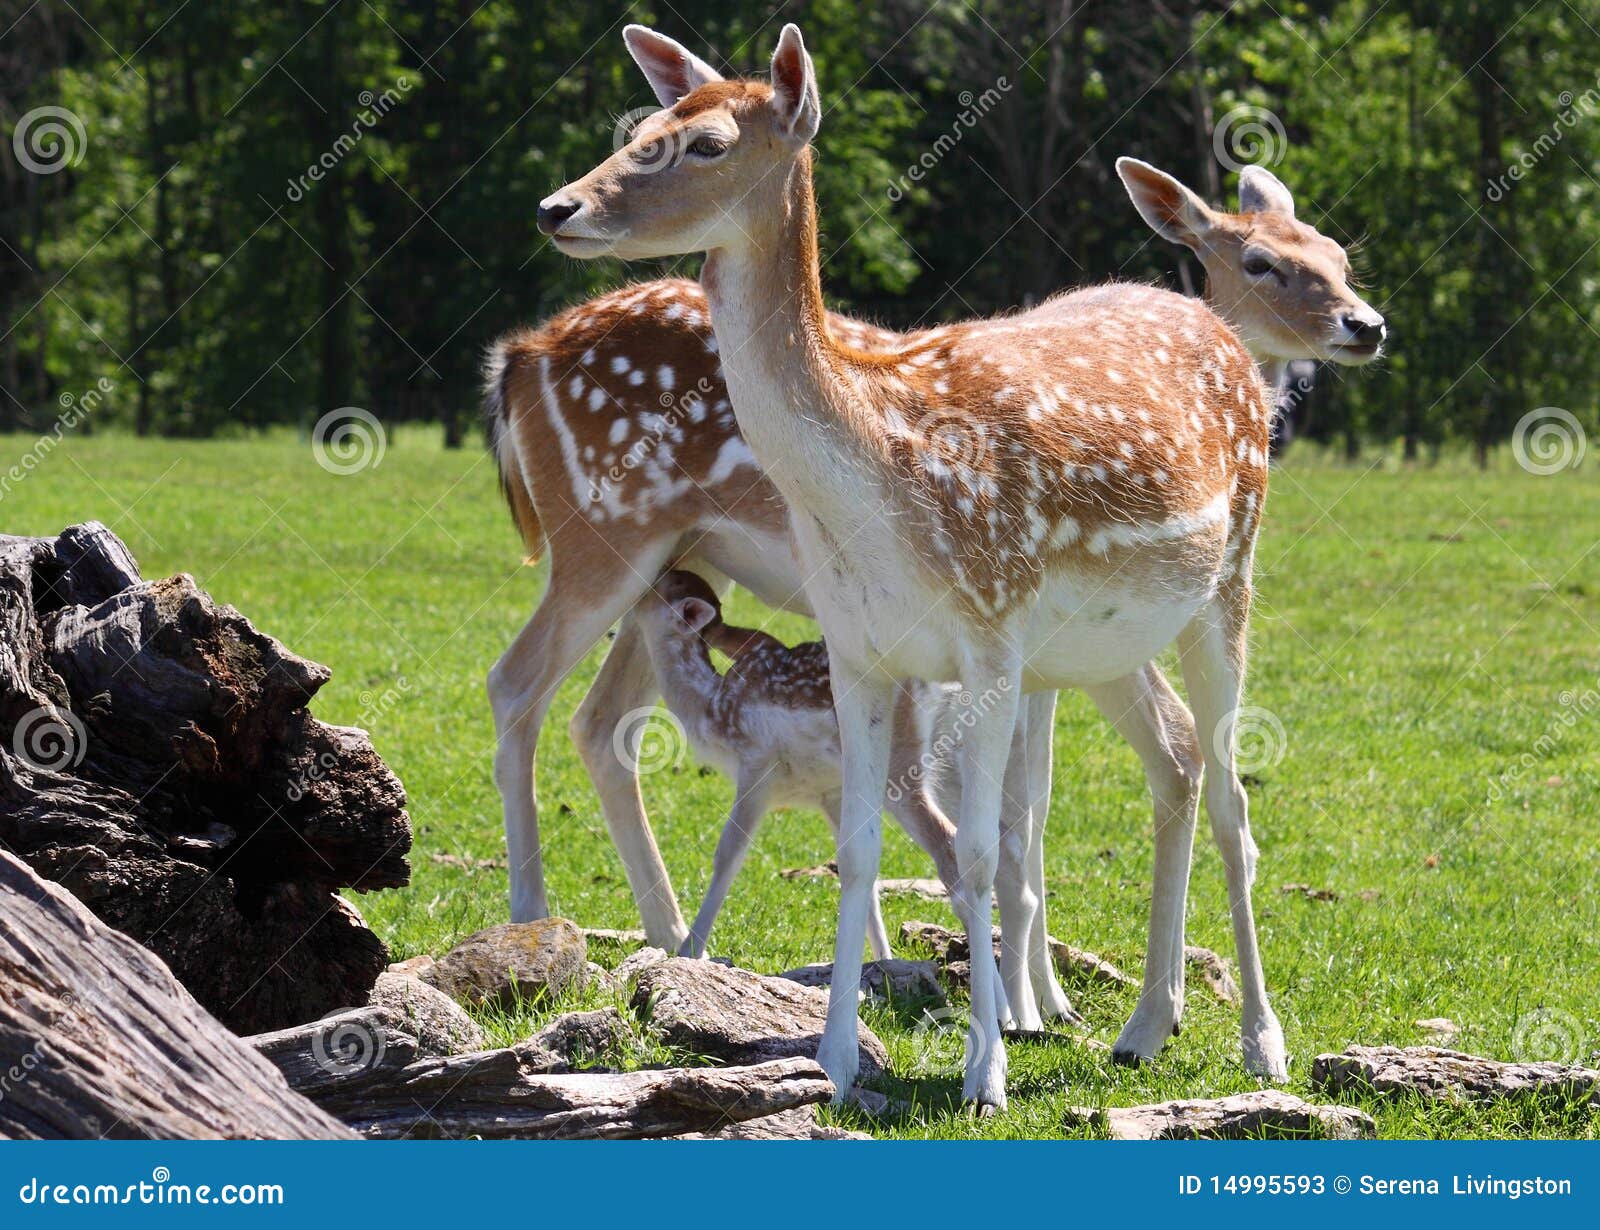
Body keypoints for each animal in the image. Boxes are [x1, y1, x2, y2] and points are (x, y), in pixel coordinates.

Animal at [636, 568, 966, 961]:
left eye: (664, 585)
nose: (651, 575)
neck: (713, 711)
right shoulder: (831, 793)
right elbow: (859, 870)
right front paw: (884, 959)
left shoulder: (757, 765)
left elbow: (727, 854)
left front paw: (689, 951)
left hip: (900, 764)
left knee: (950, 843)